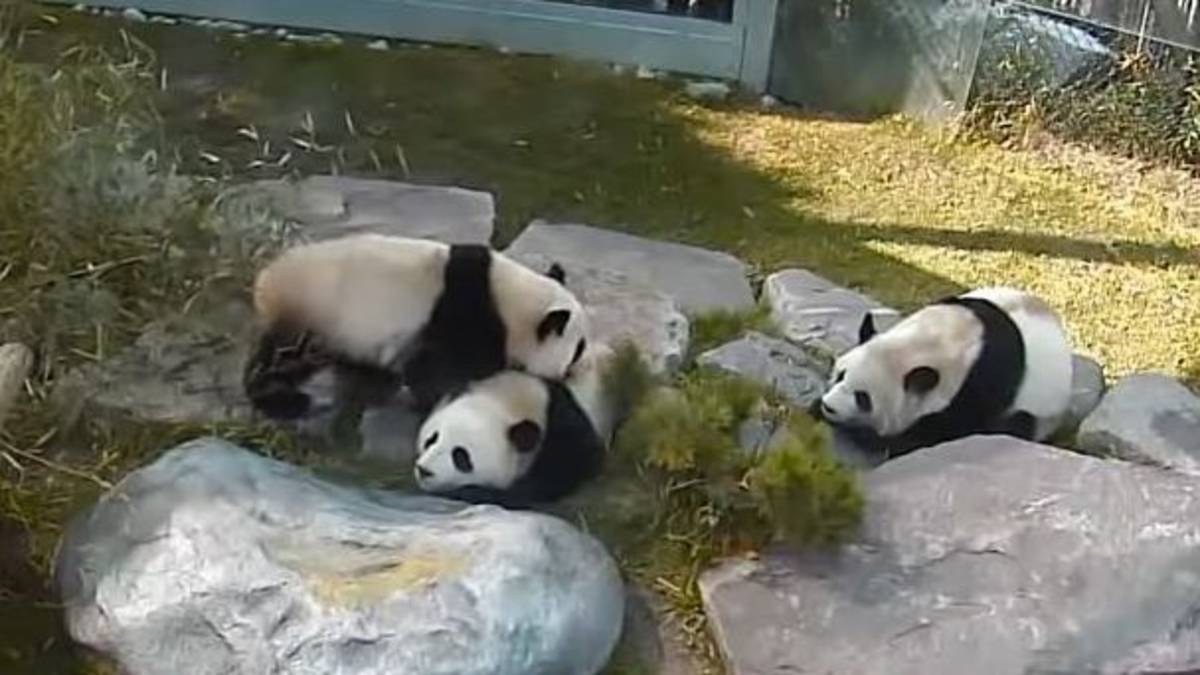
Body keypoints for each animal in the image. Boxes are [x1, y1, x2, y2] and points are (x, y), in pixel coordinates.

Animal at [242, 233, 590, 421]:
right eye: (577, 351)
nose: (570, 374)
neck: (512, 301)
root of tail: (265, 282)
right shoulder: (463, 314)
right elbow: (436, 368)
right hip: (312, 314)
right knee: (281, 359)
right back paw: (282, 399)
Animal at [411, 342, 616, 509]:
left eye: (461, 456)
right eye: (432, 439)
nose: (424, 470)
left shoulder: (565, 432)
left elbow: (560, 472)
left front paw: (471, 492)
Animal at [816, 286, 1073, 458]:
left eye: (863, 398)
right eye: (841, 375)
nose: (829, 406)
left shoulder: (976, 391)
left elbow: (931, 437)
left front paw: (867, 436)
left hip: (1040, 410)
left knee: (1018, 423)